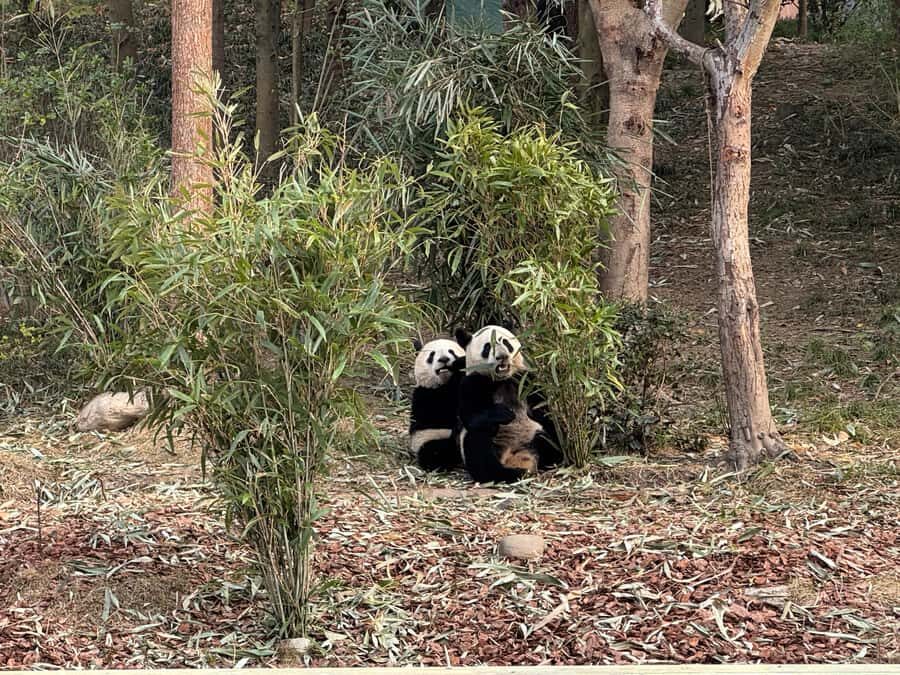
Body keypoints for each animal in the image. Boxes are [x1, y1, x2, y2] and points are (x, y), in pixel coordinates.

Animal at [409, 337, 467, 472]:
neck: (444, 382)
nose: (444, 359)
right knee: (434, 452)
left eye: (451, 352)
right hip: (427, 438)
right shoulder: (427, 395)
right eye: (431, 355)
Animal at [455, 325, 564, 484]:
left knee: (546, 441)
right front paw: (505, 414)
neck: (502, 380)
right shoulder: (473, 382)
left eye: (506, 343)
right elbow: (471, 415)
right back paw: (507, 473)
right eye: (488, 347)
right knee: (479, 446)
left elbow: (543, 409)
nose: (502, 356)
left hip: (532, 435)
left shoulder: (525, 380)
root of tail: (513, 456)